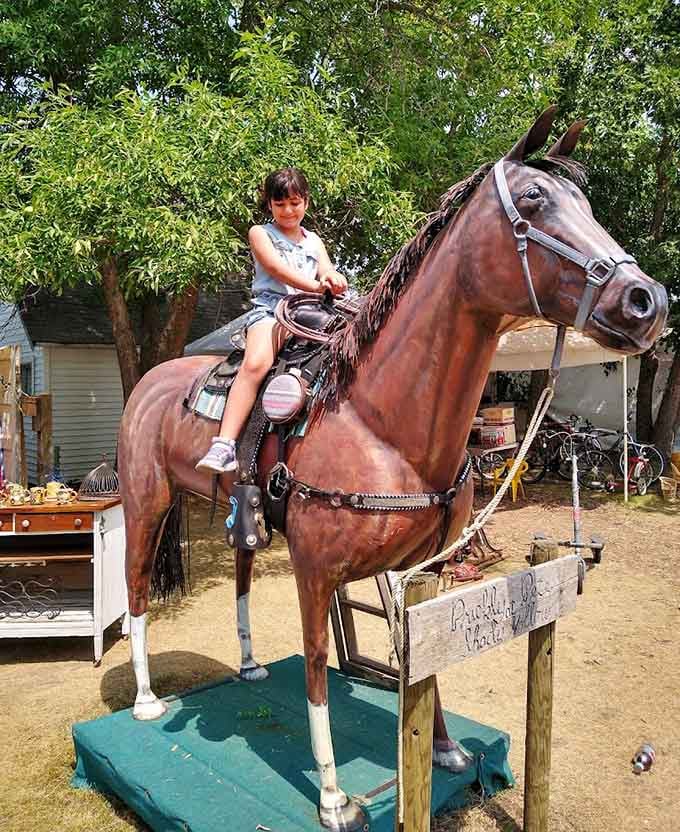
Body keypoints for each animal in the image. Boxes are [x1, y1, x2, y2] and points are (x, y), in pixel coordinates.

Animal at [118, 107, 667, 831]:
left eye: (588, 202)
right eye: (532, 199)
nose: (647, 300)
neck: (380, 423)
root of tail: (151, 379)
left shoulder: (423, 570)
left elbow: (420, 661)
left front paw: (448, 752)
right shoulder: (314, 571)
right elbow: (317, 669)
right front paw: (331, 797)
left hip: (240, 520)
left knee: (236, 579)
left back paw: (250, 666)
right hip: (145, 504)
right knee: (135, 589)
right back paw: (146, 700)